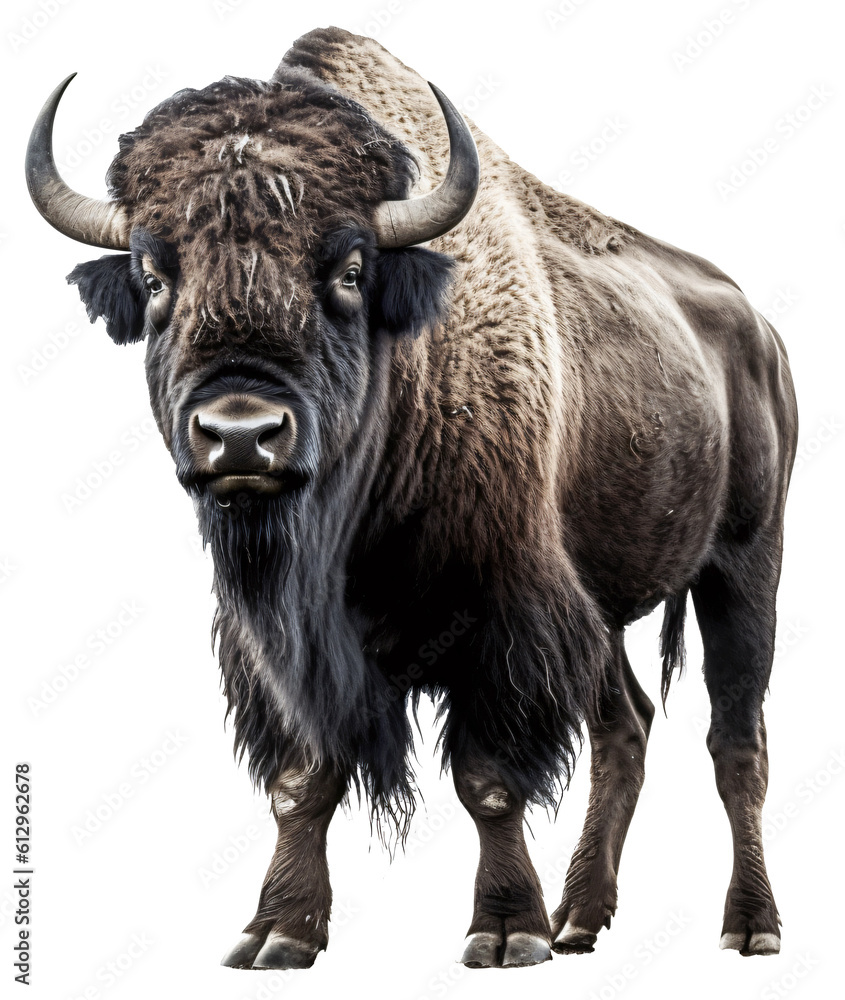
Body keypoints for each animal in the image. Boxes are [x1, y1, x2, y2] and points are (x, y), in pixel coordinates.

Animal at [26, 26, 797, 970]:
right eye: (152, 275)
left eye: (352, 269)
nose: (241, 434)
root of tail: (759, 331)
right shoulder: (282, 644)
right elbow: (301, 780)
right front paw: (277, 933)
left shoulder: (505, 618)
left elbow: (488, 781)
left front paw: (504, 933)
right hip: (607, 607)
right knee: (625, 730)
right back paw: (580, 921)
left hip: (745, 566)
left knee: (736, 742)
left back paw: (748, 925)